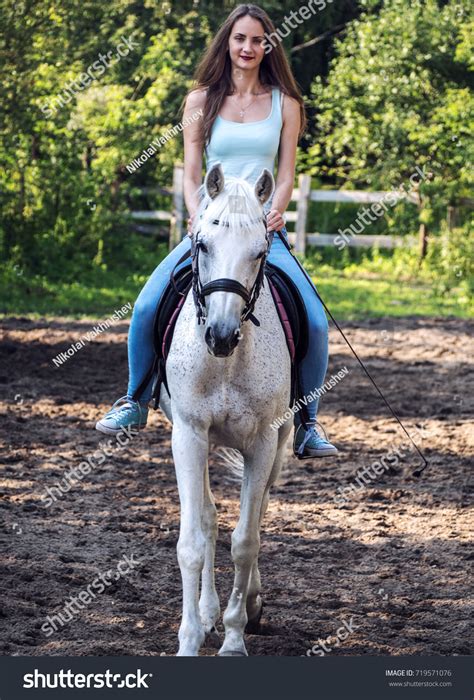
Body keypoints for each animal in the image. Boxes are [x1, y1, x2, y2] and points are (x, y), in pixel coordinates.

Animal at [159, 163, 293, 656]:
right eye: (203, 245)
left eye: (259, 252)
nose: (219, 335)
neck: (226, 362)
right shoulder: (188, 434)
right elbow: (194, 540)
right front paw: (190, 636)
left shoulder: (264, 442)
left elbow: (246, 541)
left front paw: (234, 637)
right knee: (209, 516)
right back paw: (207, 613)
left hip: (282, 443)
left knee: (259, 509)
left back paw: (249, 604)